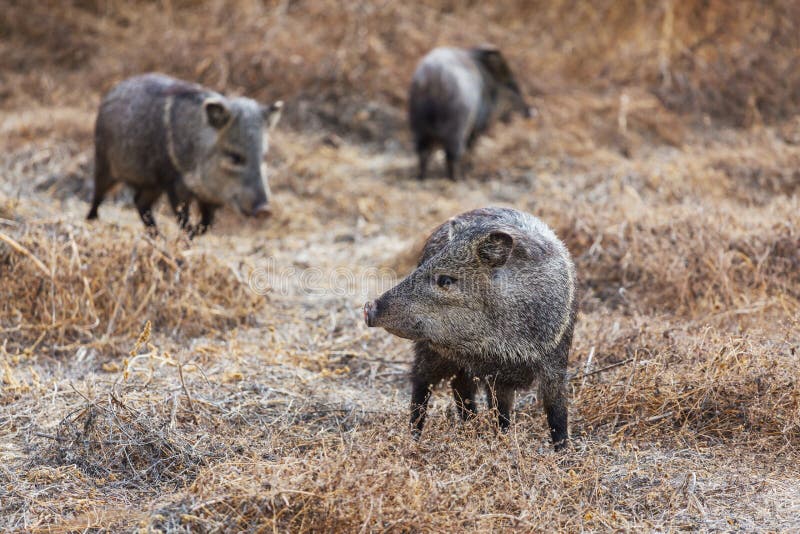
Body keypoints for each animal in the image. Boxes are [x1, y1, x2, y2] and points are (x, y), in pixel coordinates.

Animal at [87, 73, 283, 236]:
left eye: (264, 157)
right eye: (235, 156)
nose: (265, 210)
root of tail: (111, 93)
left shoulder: (207, 197)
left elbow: (206, 225)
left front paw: (192, 234)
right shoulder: (175, 184)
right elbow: (183, 218)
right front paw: (187, 235)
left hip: (152, 184)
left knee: (140, 202)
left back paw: (156, 235)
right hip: (104, 162)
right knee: (98, 194)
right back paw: (91, 220)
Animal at [364, 207, 576, 450]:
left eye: (446, 280)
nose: (369, 307)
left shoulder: (554, 363)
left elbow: (555, 412)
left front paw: (562, 452)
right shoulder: (493, 373)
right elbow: (500, 411)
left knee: (459, 386)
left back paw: (470, 427)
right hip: (429, 350)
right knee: (422, 383)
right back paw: (416, 437)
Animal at [408, 46, 532, 181]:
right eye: (511, 85)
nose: (530, 111)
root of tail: (434, 77)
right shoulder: (477, 128)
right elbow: (471, 148)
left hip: (419, 126)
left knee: (423, 152)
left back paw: (422, 177)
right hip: (456, 128)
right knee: (451, 154)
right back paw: (456, 178)